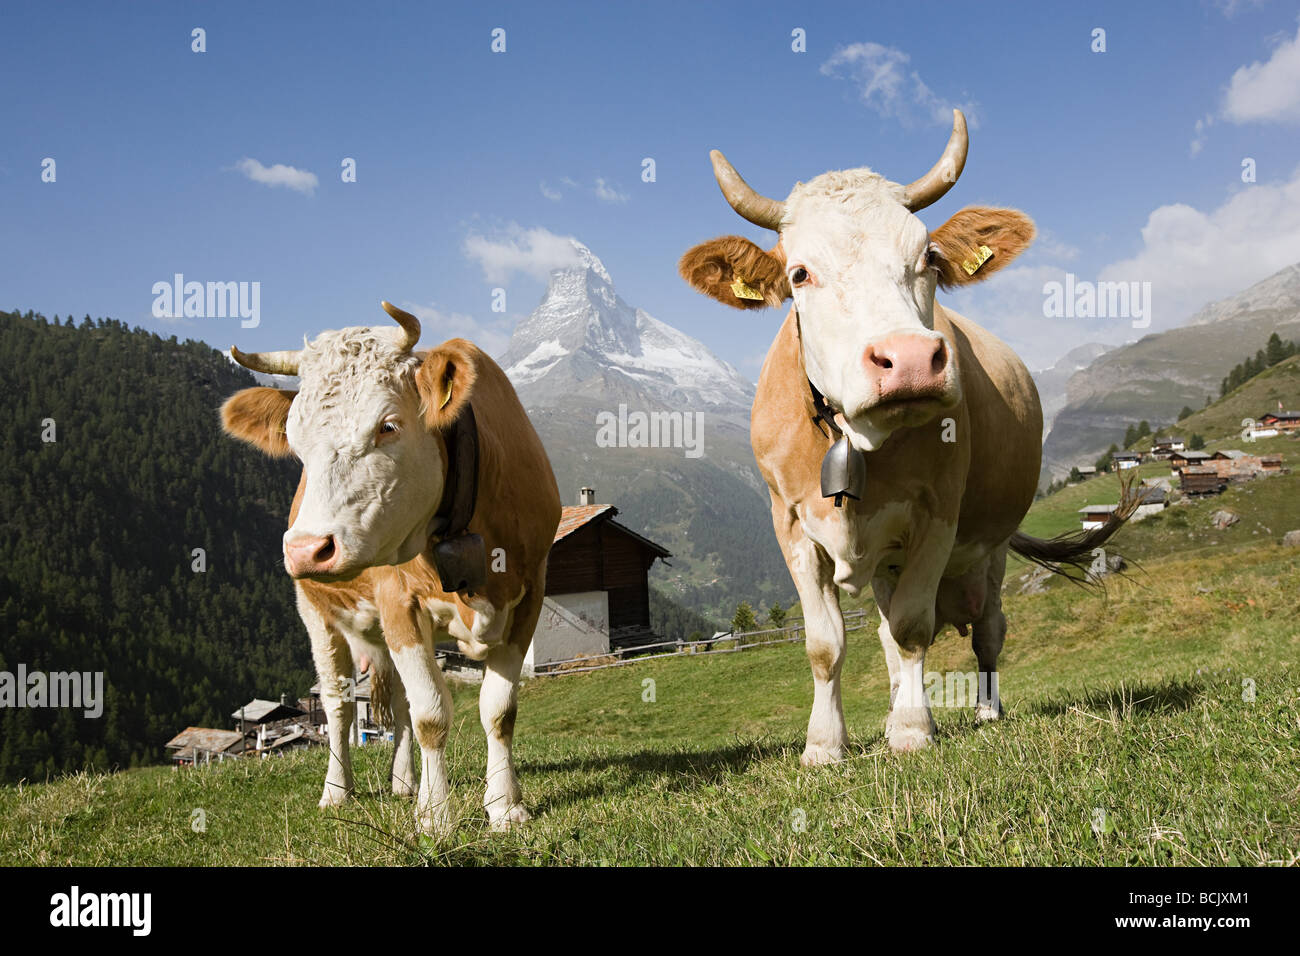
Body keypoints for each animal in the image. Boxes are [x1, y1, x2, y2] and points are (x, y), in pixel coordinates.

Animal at [221, 303, 561, 832]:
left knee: (397, 705)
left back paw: (404, 784)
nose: (306, 549)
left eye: (388, 425)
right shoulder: (399, 602)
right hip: (316, 613)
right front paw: (436, 816)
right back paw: (338, 791)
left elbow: (499, 710)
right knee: (339, 706)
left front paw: (505, 807)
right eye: (295, 442)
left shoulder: (531, 593)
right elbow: (431, 715)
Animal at [679, 110, 1133, 760]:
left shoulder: (939, 514)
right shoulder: (789, 524)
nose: (912, 359)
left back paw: (983, 712)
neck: (857, 436)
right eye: (800, 273)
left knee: (987, 629)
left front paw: (915, 731)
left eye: (929, 260)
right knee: (888, 637)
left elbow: (916, 629)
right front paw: (826, 744)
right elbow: (828, 644)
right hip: (886, 565)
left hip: (991, 546)